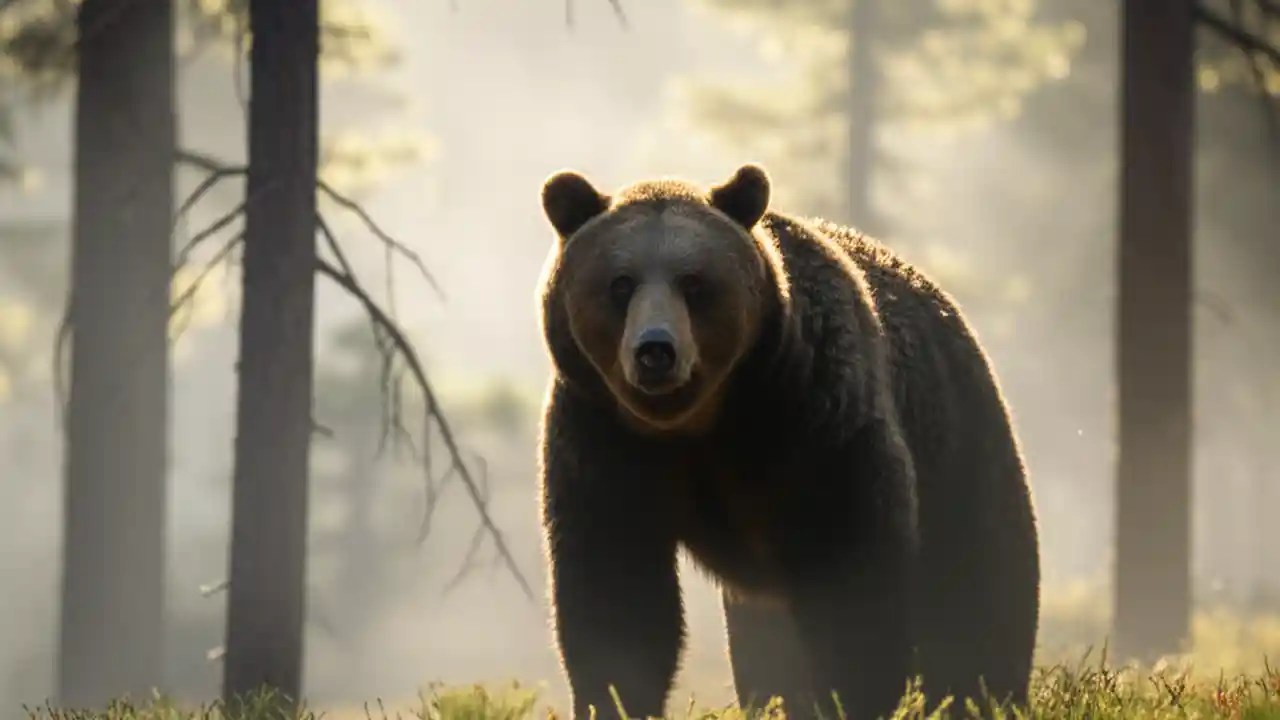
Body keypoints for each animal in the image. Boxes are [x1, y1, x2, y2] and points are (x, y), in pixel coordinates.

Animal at [535, 164, 1040, 720]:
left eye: (694, 282)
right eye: (620, 283)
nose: (655, 351)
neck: (699, 422)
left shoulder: (812, 420)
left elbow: (850, 576)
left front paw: (853, 693)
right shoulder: (603, 439)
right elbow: (616, 596)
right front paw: (615, 698)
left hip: (958, 446)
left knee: (981, 597)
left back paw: (983, 693)